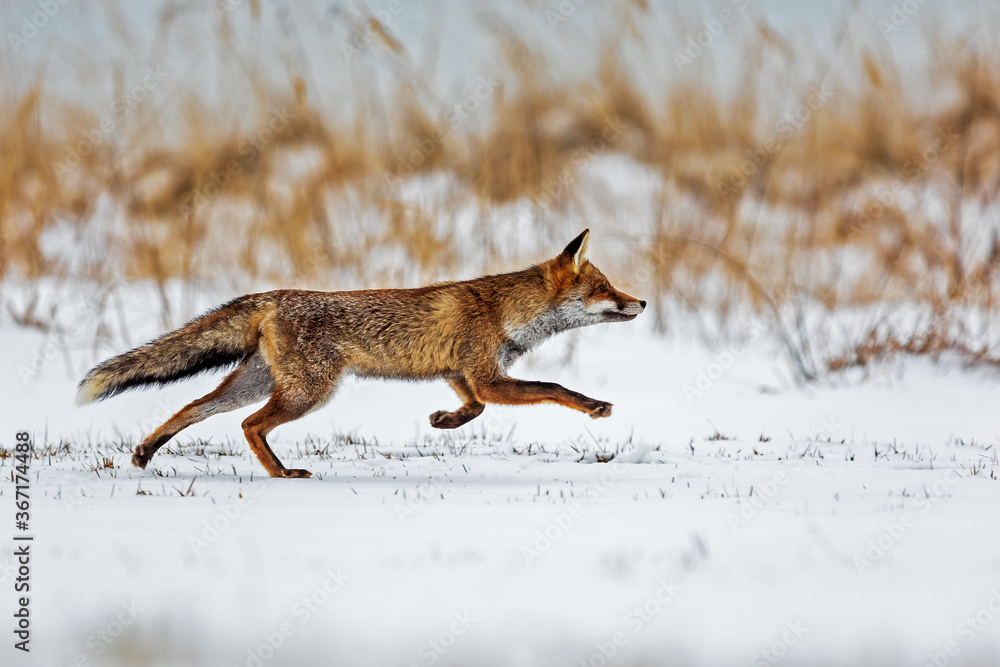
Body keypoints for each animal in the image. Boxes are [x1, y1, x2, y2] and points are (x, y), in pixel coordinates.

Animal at [76, 230, 645, 478]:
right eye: (603, 287)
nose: (641, 302)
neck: (506, 310)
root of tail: (274, 295)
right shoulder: (486, 374)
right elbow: (552, 387)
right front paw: (594, 407)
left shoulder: (461, 373)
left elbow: (475, 408)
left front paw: (443, 421)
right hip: (308, 391)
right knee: (249, 425)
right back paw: (281, 474)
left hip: (256, 383)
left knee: (193, 408)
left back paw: (145, 452)